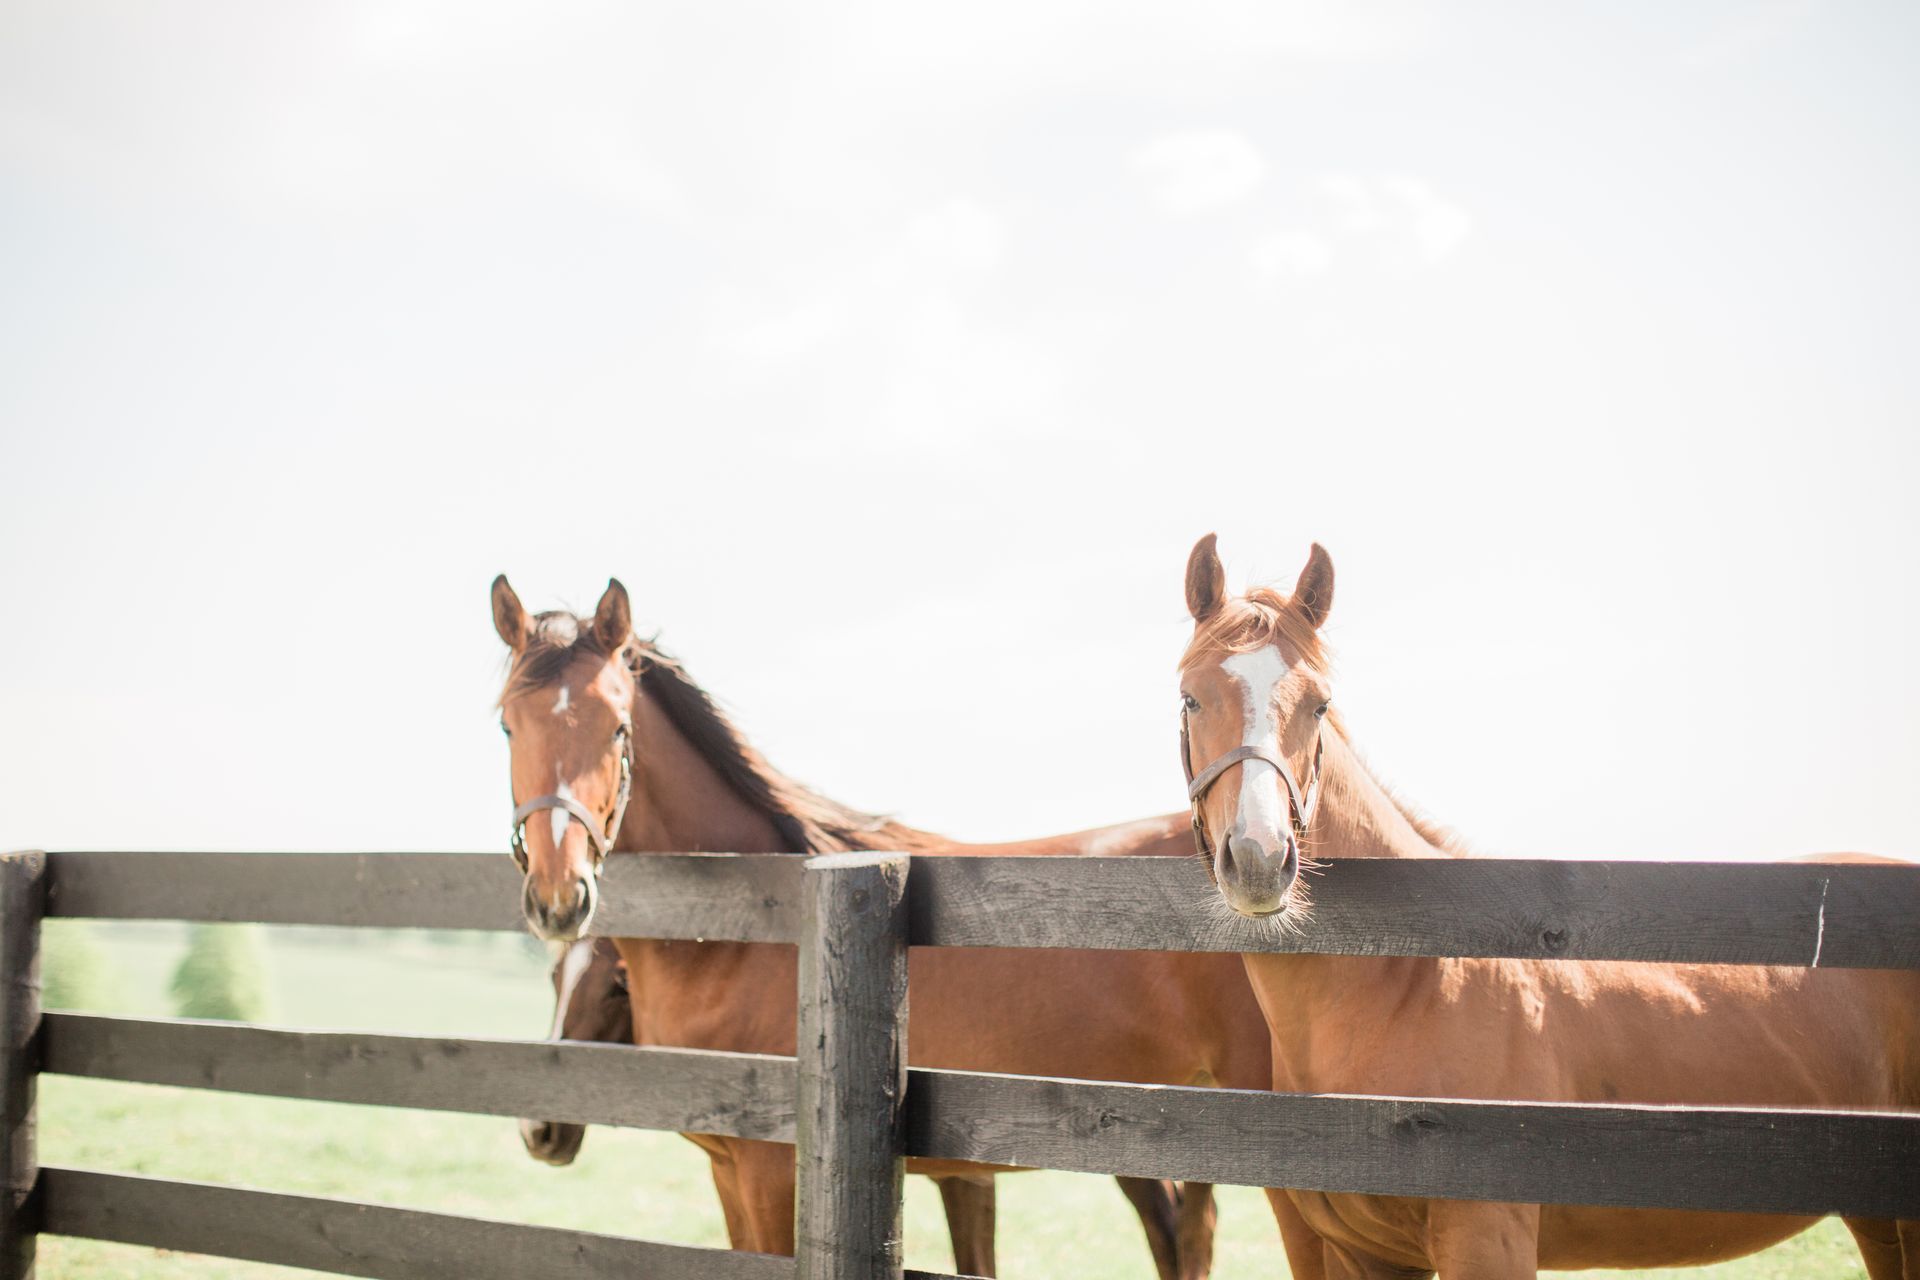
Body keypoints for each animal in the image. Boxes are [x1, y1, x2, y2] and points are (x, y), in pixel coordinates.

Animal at [1175, 533, 1920, 1279]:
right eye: (1190, 699)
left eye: (1320, 705)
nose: (1260, 858)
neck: (1409, 981)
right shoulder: (1366, 1255)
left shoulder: (1487, 1243)